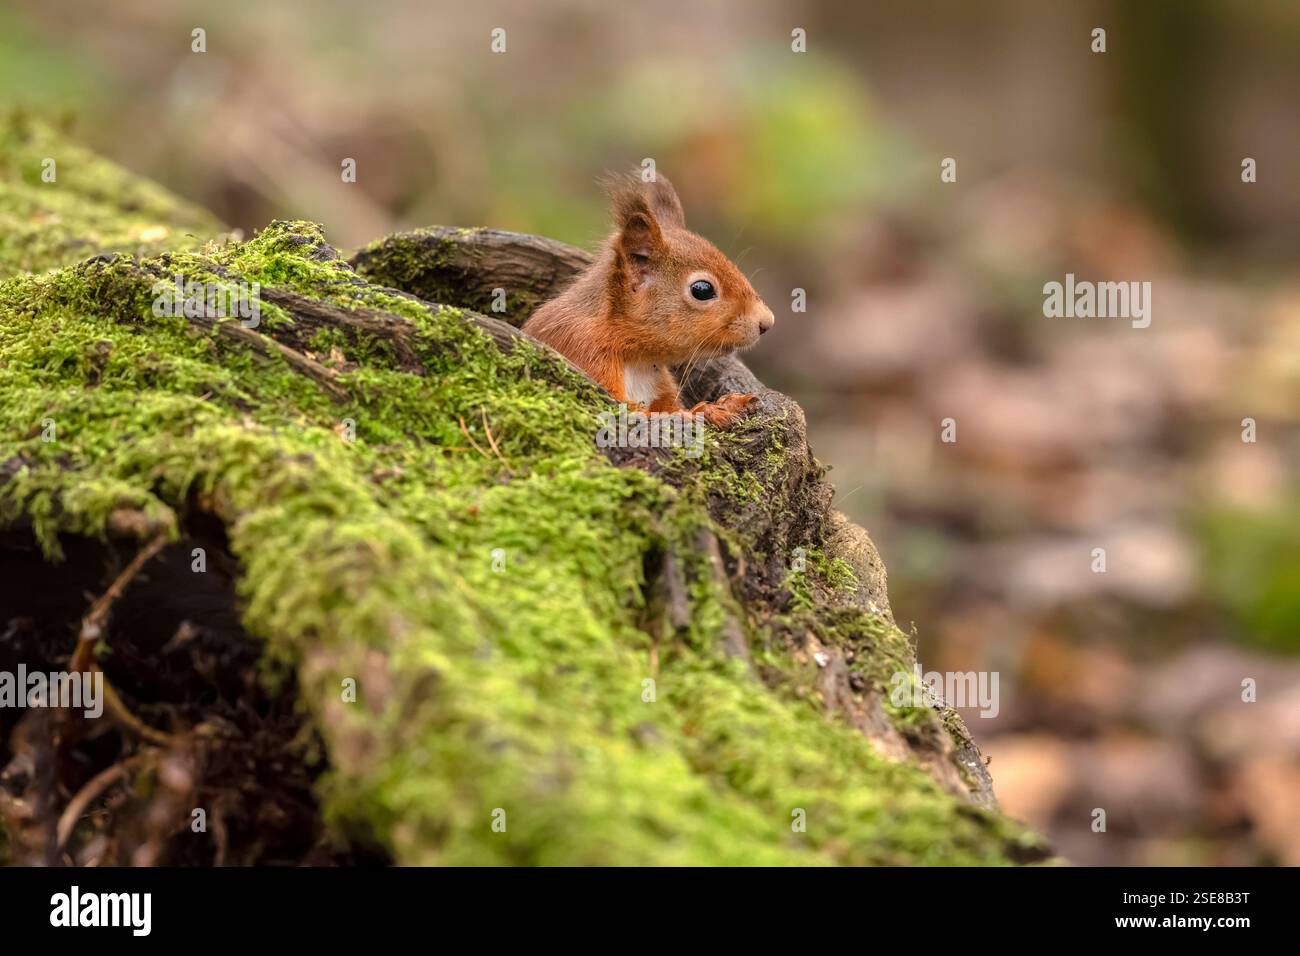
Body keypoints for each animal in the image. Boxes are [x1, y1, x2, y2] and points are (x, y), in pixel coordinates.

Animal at [523, 172, 774, 427]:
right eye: (702, 290)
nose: (766, 322)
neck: (638, 360)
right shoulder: (583, 353)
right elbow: (637, 411)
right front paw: (702, 411)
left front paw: (725, 404)